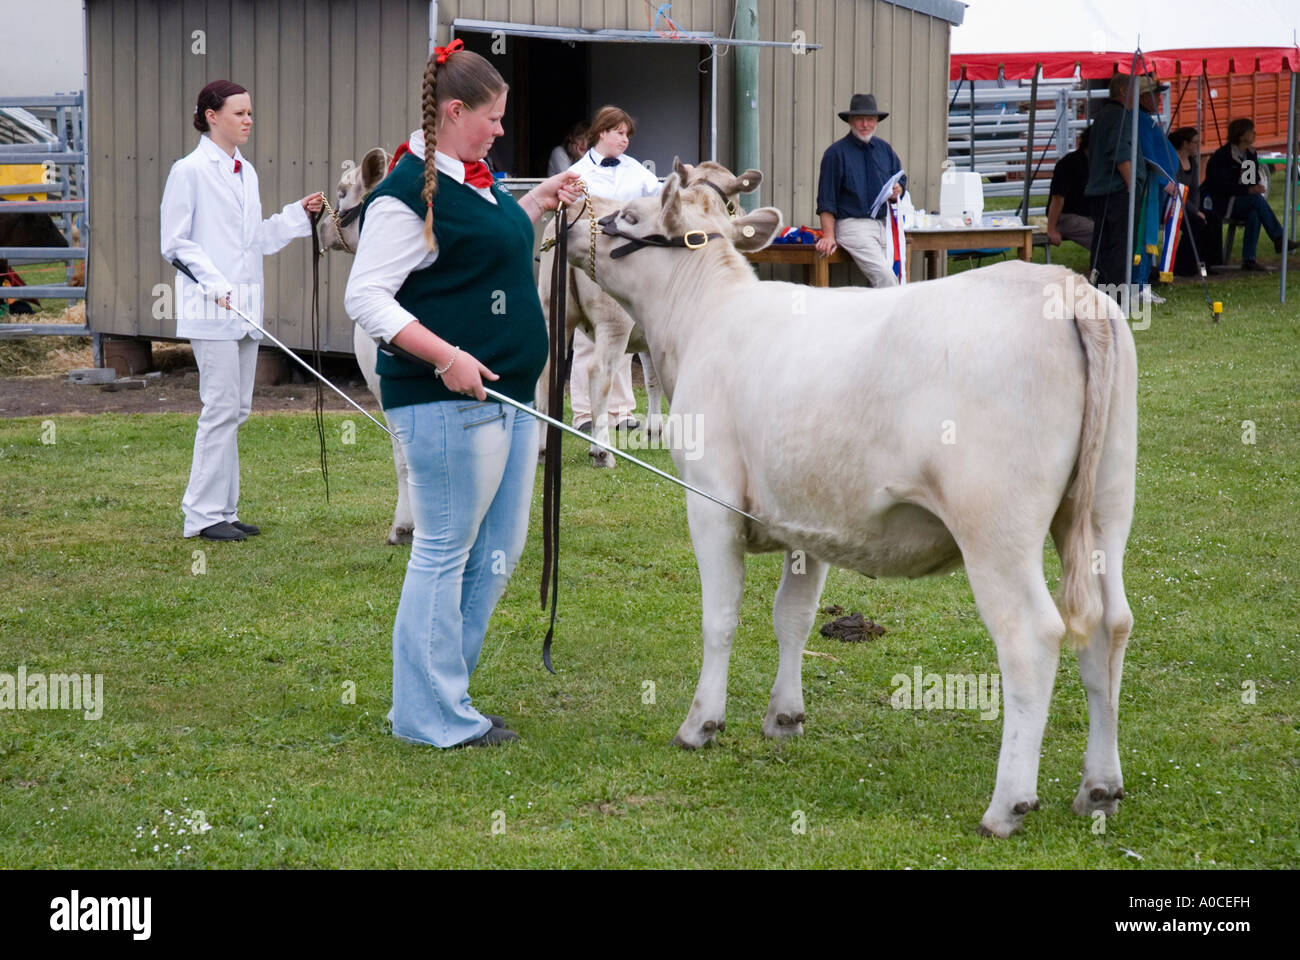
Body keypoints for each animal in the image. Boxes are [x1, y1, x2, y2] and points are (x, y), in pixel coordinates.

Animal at [561, 173, 1138, 838]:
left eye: (629, 215)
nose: (570, 218)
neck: (706, 318)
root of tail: (1067, 286)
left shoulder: (712, 502)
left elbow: (720, 617)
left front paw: (700, 723)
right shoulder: (811, 519)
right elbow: (792, 616)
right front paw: (784, 718)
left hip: (996, 529)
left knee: (1032, 637)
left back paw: (1008, 804)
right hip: (1104, 509)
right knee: (1109, 625)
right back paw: (1100, 787)